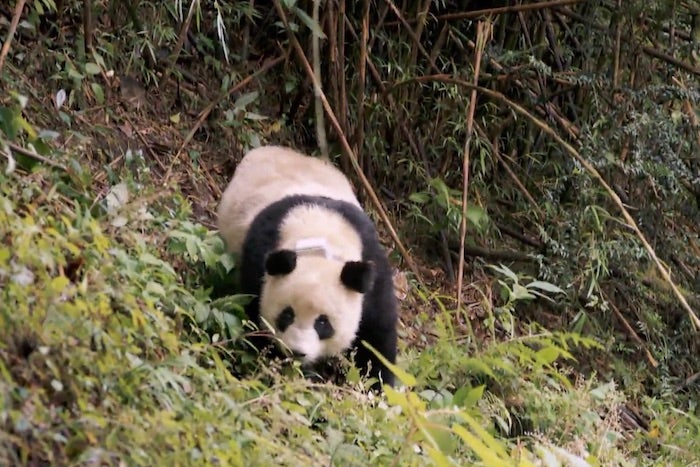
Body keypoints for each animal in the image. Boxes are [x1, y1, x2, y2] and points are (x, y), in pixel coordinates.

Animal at [217, 146, 398, 388]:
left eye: (323, 323)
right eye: (287, 315)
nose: (297, 352)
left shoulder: (370, 259)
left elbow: (377, 334)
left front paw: (377, 385)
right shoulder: (257, 263)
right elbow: (258, 326)